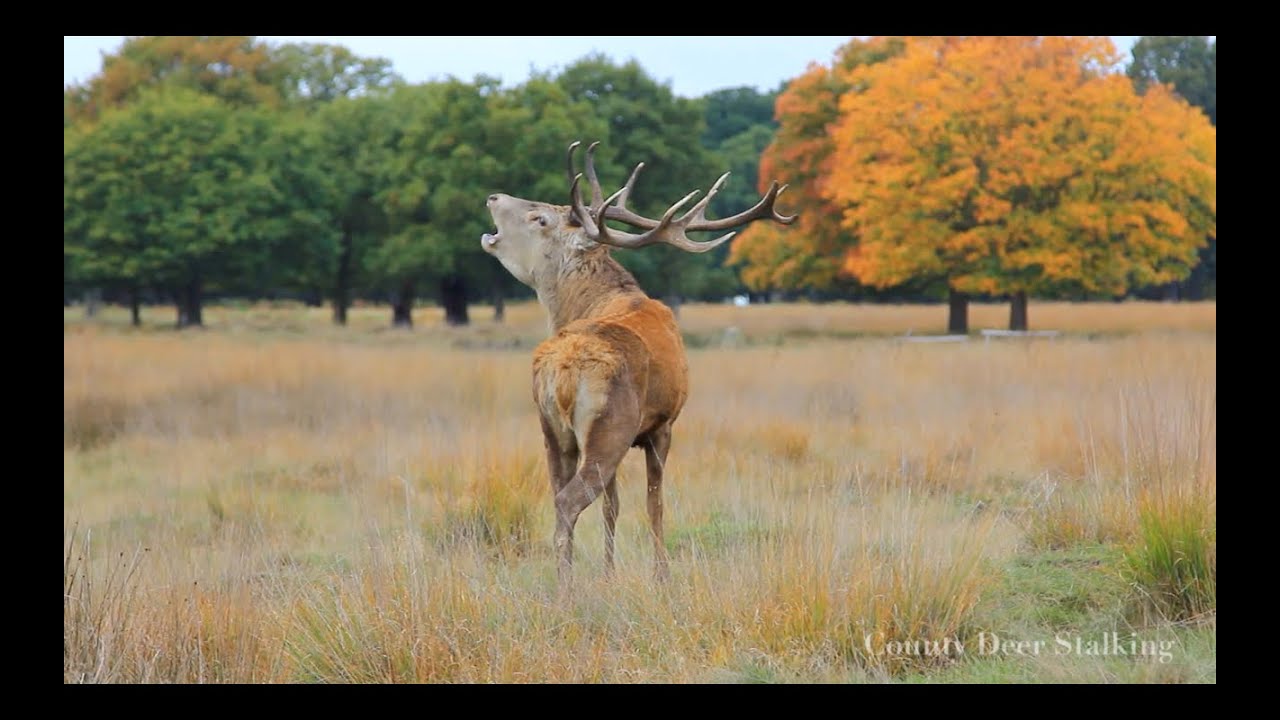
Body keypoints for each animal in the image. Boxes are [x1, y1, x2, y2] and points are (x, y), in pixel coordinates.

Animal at [480, 141, 795, 584]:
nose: (493, 197)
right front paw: (662, 576)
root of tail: (562, 372)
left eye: (540, 216)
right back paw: (566, 590)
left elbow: (615, 506)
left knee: (560, 494)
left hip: (552, 430)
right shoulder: (663, 424)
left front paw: (611, 574)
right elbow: (655, 504)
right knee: (569, 502)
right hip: (610, 426)